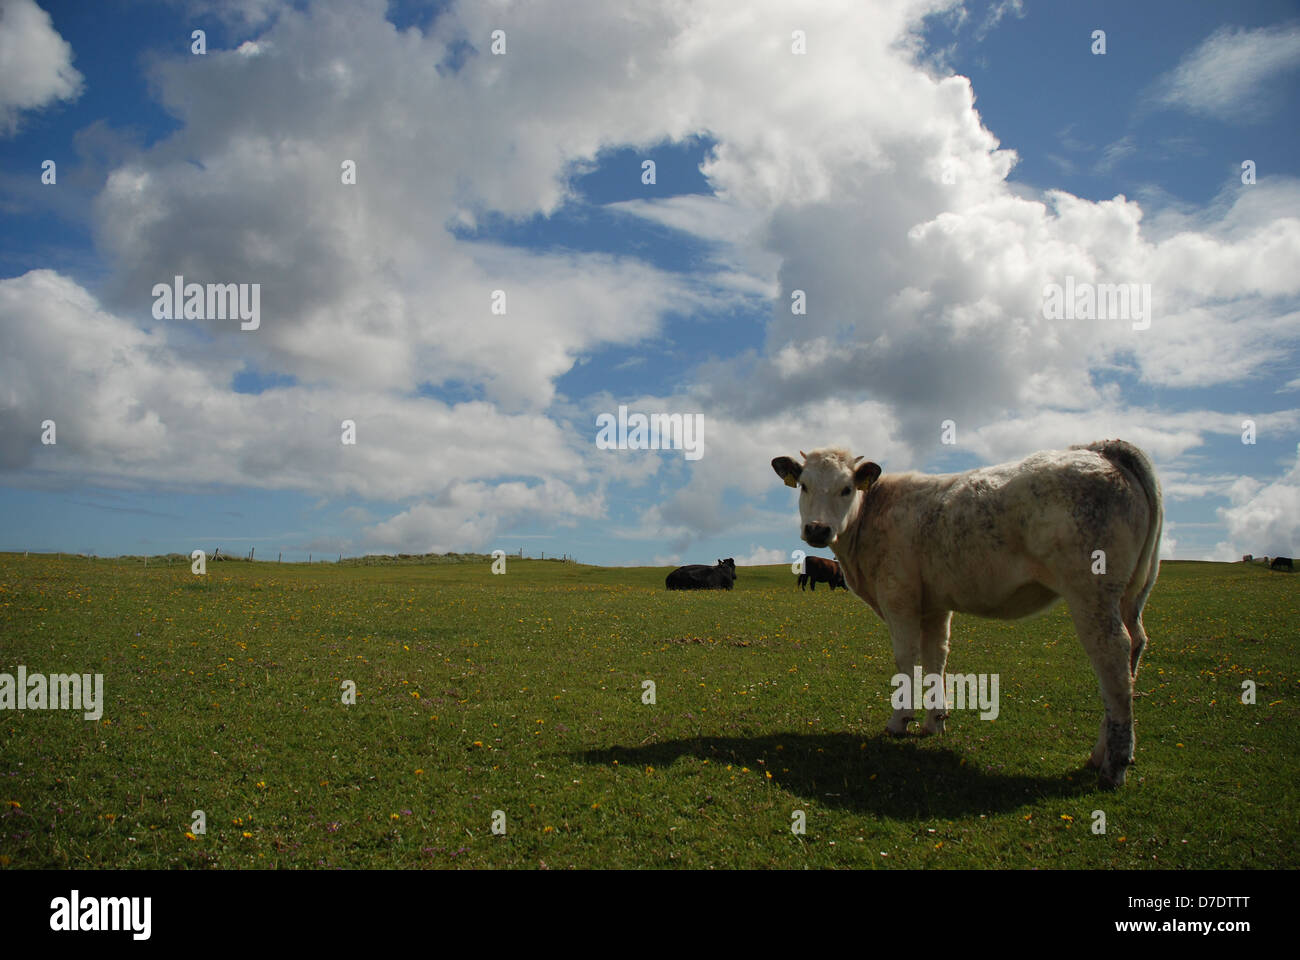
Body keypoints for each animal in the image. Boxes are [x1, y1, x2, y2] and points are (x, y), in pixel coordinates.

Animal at [772, 439, 1163, 789]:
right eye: (804, 485)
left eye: (846, 488)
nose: (818, 529)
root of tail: (1102, 448)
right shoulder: (934, 605)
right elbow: (936, 657)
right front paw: (935, 722)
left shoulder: (898, 596)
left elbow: (906, 657)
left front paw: (900, 721)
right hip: (1131, 595)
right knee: (1134, 647)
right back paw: (1100, 754)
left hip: (1091, 591)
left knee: (1112, 655)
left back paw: (1114, 767)